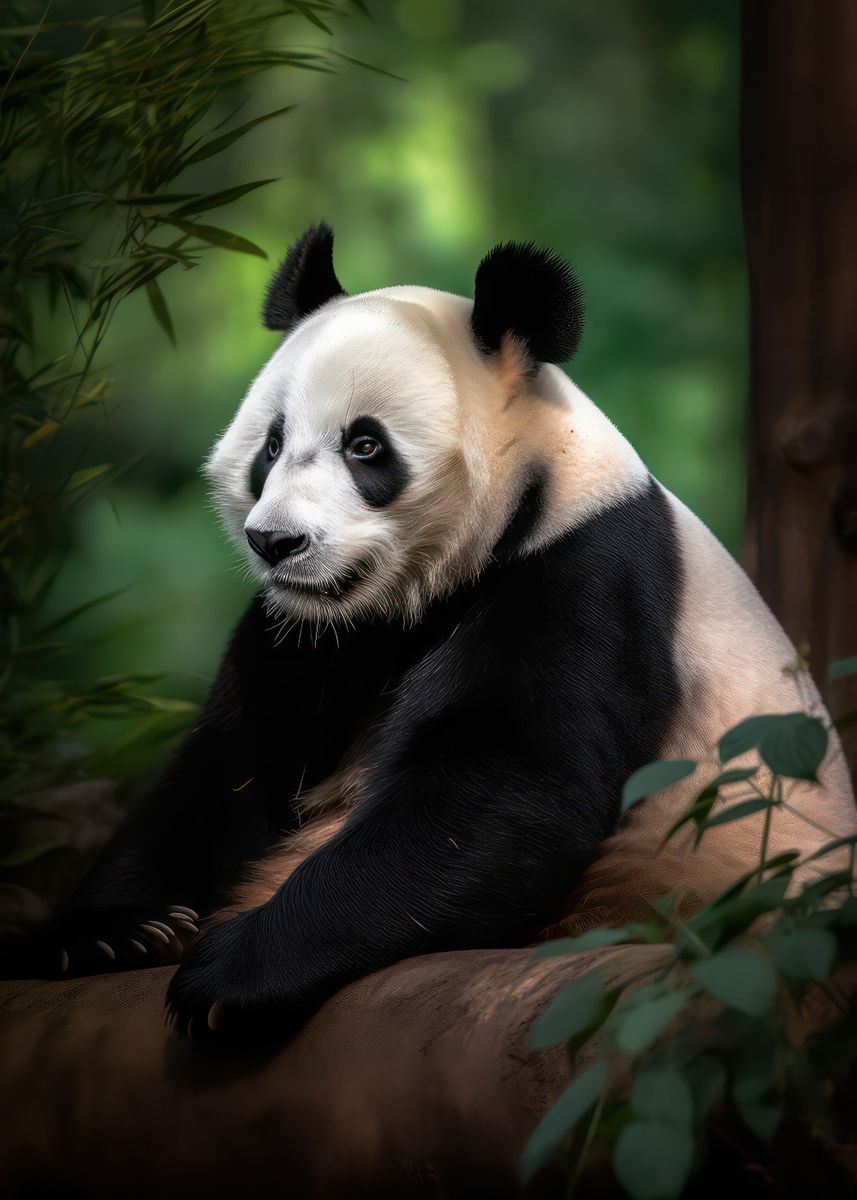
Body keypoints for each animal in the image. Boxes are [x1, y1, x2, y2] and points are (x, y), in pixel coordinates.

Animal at [17, 224, 856, 1041]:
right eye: (271, 444)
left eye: (365, 446)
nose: (276, 542)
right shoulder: (307, 636)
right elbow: (225, 768)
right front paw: (110, 931)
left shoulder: (587, 573)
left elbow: (502, 788)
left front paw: (229, 975)